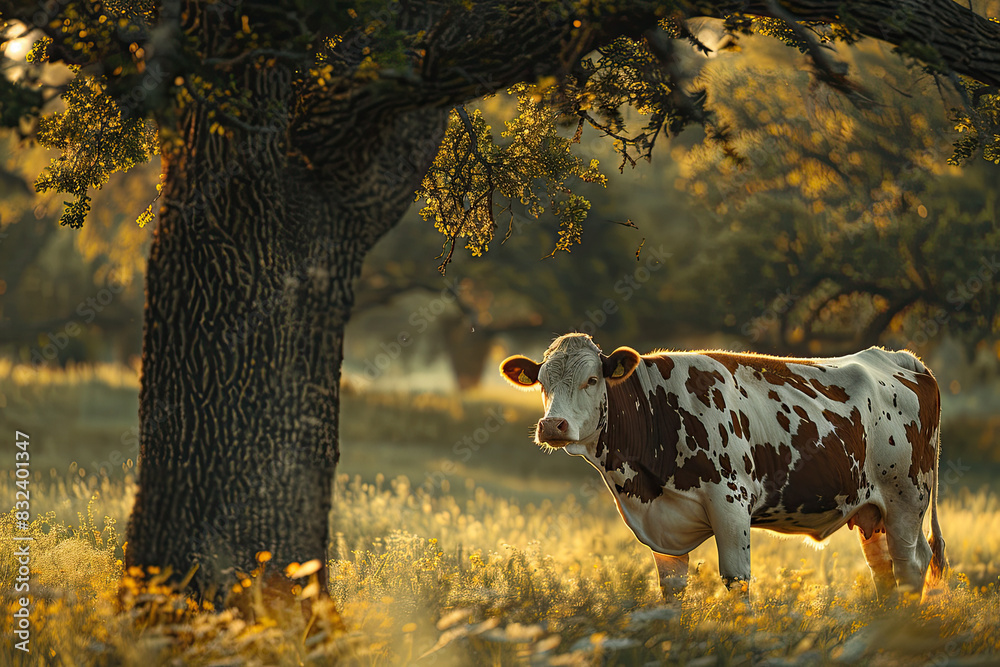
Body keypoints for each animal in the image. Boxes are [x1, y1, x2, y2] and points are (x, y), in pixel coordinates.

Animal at [500, 333, 946, 602]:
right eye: (542, 382)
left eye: (592, 380)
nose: (552, 426)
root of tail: (895, 357)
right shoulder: (662, 526)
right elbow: (671, 594)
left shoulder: (730, 504)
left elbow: (736, 586)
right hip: (872, 511)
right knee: (884, 571)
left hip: (906, 501)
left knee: (910, 568)